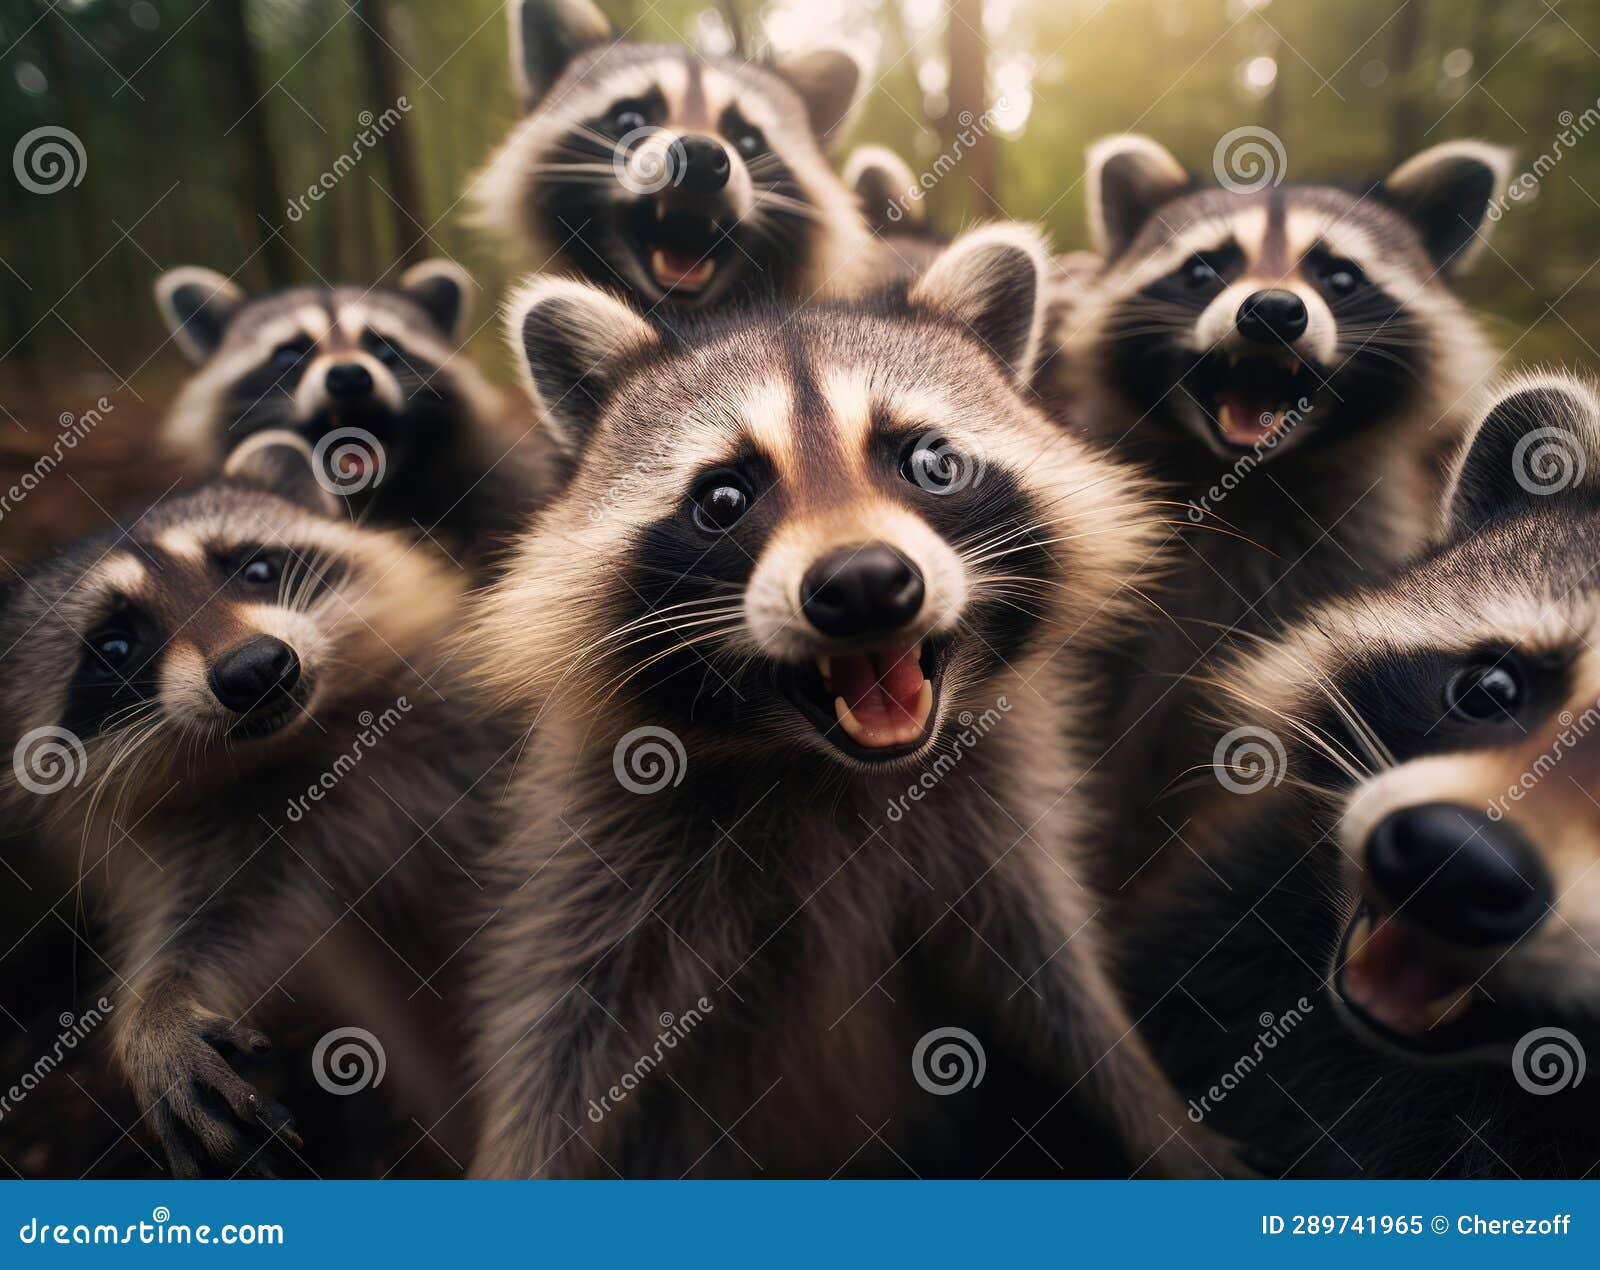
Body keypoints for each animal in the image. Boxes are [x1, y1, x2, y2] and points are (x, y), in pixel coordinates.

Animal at [0, 433, 509, 1177]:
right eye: (115, 646)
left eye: (256, 568)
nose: (256, 669)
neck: (309, 742)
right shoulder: (236, 823)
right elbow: (210, 921)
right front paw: (158, 1008)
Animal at [463, 225, 1235, 1179]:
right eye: (724, 497)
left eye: (931, 462)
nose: (865, 583)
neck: (829, 771)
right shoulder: (602, 866)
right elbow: (557, 1050)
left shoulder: (998, 827)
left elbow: (1060, 994)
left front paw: (1164, 1127)